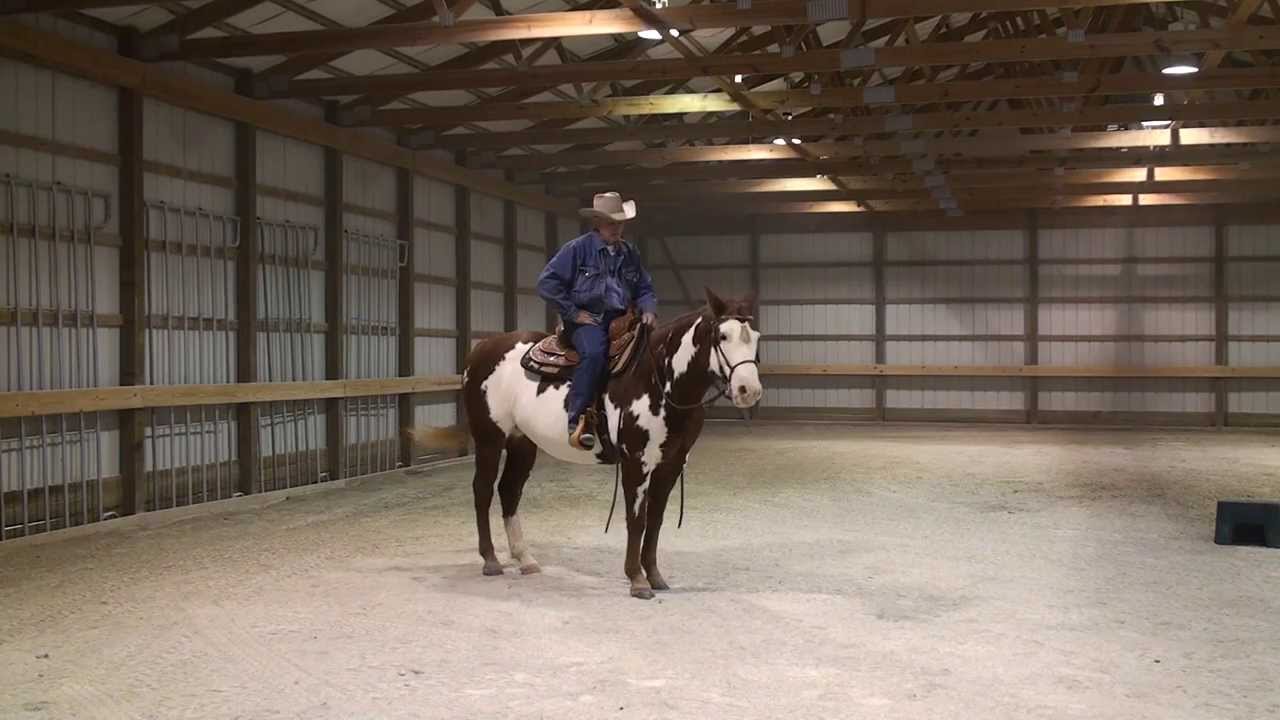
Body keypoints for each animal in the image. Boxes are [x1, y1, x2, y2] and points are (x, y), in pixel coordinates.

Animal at [416, 288, 763, 599]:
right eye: (723, 336)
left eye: (756, 337)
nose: (749, 390)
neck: (659, 380)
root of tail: (481, 350)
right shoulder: (636, 461)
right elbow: (636, 520)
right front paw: (637, 580)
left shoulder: (671, 464)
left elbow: (655, 521)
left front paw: (655, 576)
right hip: (489, 438)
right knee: (483, 490)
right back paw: (490, 560)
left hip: (522, 441)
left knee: (509, 491)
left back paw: (525, 559)